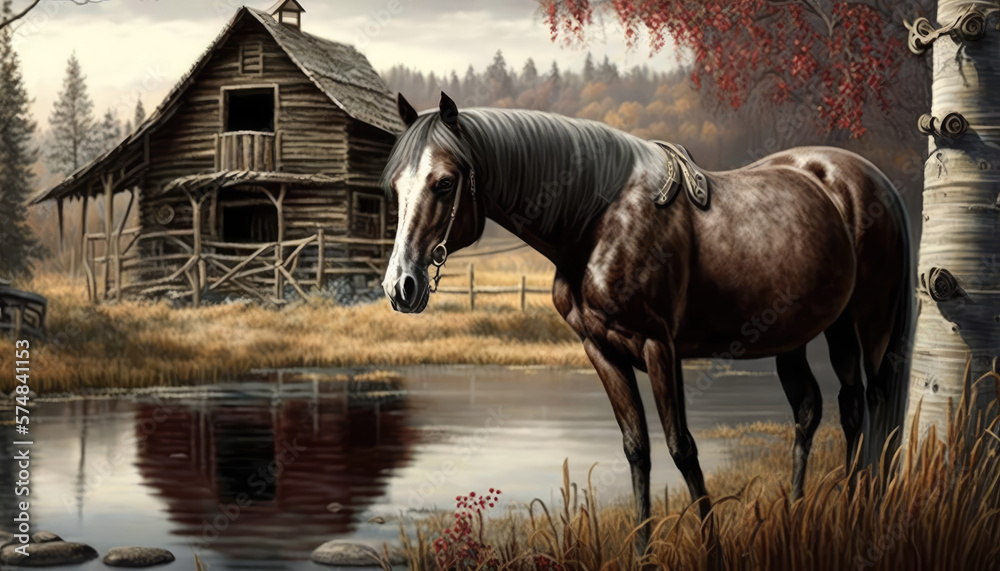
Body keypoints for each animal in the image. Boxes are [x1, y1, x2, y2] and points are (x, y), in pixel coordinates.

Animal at [380, 92, 913, 550]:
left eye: (445, 183)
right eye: (396, 187)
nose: (400, 286)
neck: (596, 221)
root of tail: (867, 179)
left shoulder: (660, 347)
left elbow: (682, 448)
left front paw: (712, 549)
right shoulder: (602, 350)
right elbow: (637, 448)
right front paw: (643, 551)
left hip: (866, 323)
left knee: (869, 402)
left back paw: (865, 509)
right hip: (800, 334)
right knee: (816, 409)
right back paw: (804, 513)